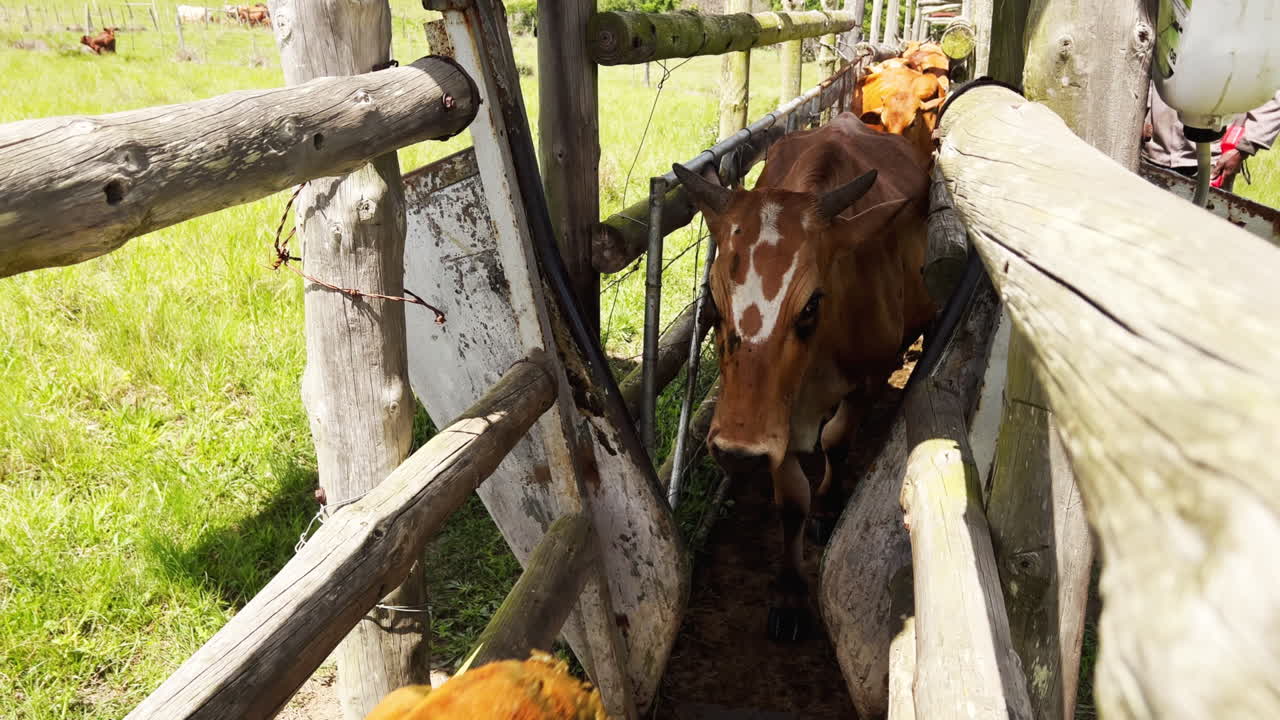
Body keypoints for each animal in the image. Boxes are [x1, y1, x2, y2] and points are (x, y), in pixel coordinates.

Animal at [671, 112, 936, 641]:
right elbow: (790, 499)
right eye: (714, 301)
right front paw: (790, 592)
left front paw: (828, 506)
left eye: (811, 304)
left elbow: (836, 440)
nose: (737, 451)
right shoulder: (777, 422)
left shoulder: (869, 378)